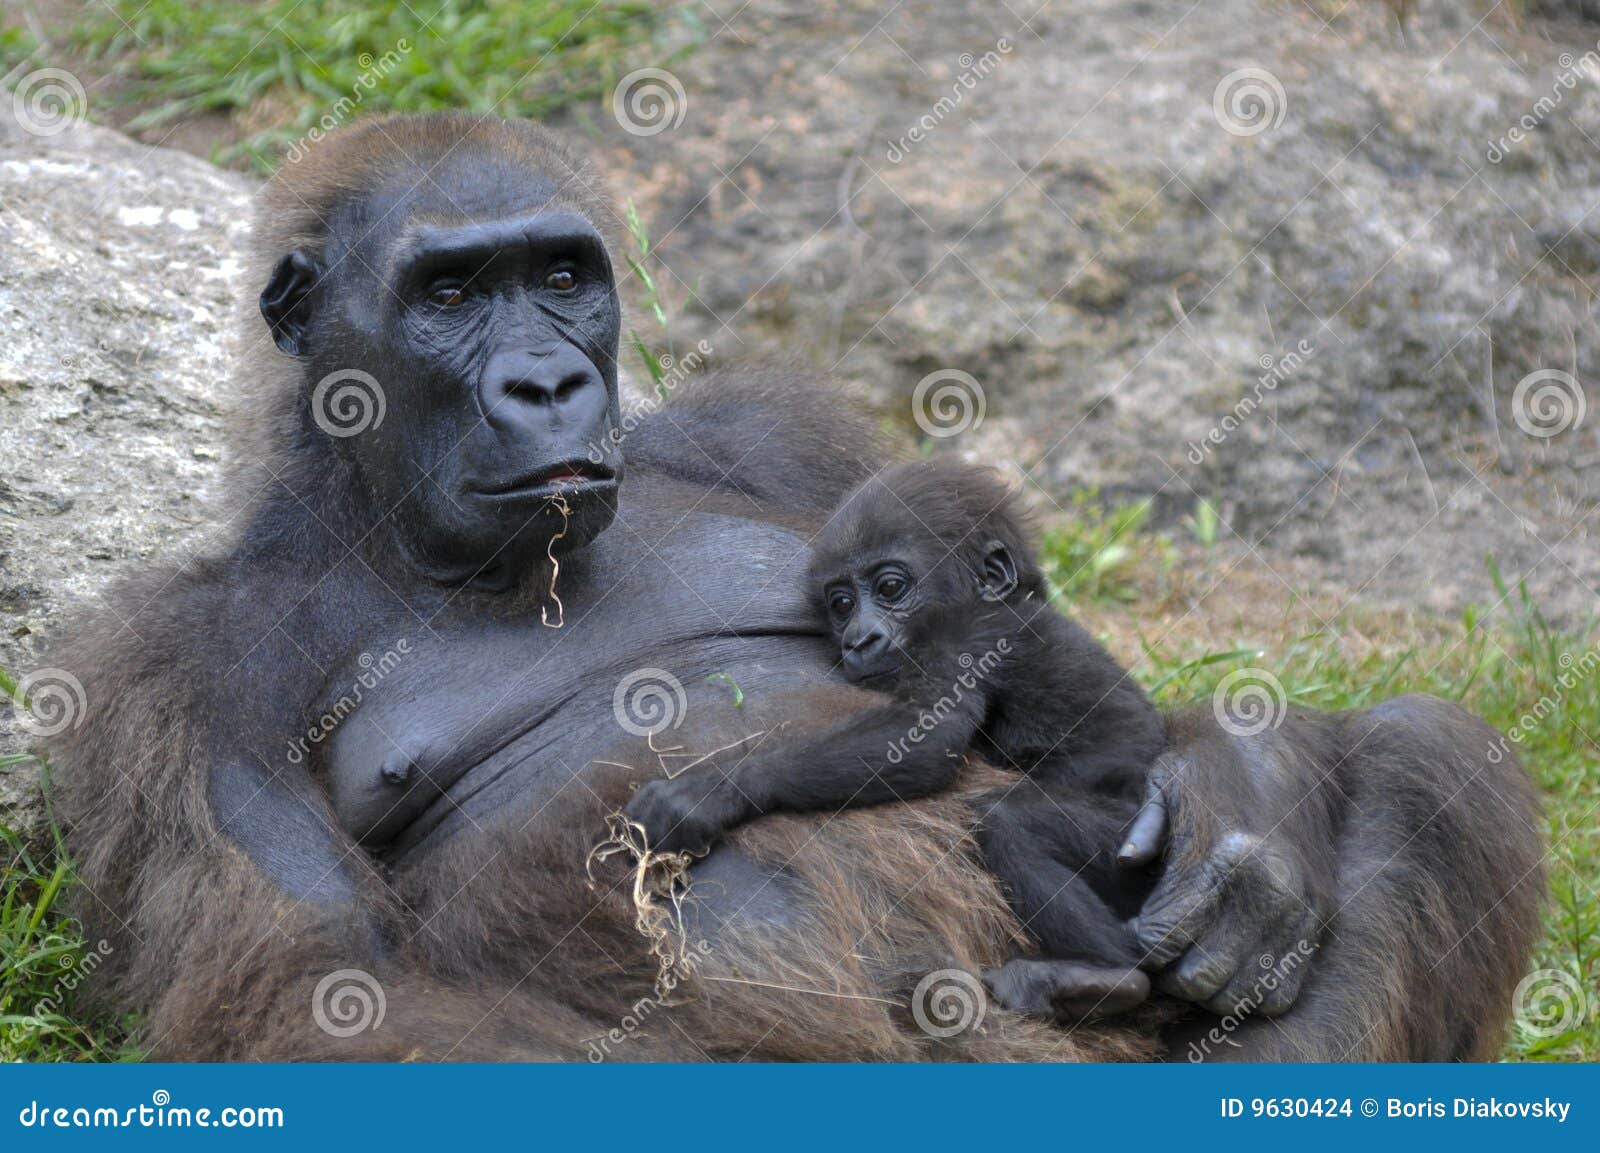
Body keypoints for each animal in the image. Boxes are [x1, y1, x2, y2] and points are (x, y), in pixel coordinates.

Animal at [625, 459, 1168, 1017]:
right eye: (842, 603)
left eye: (889, 588)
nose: (858, 640)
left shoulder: (966, 636)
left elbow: (926, 734)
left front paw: (714, 790)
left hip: (1130, 836)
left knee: (1009, 822)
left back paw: (1109, 975)